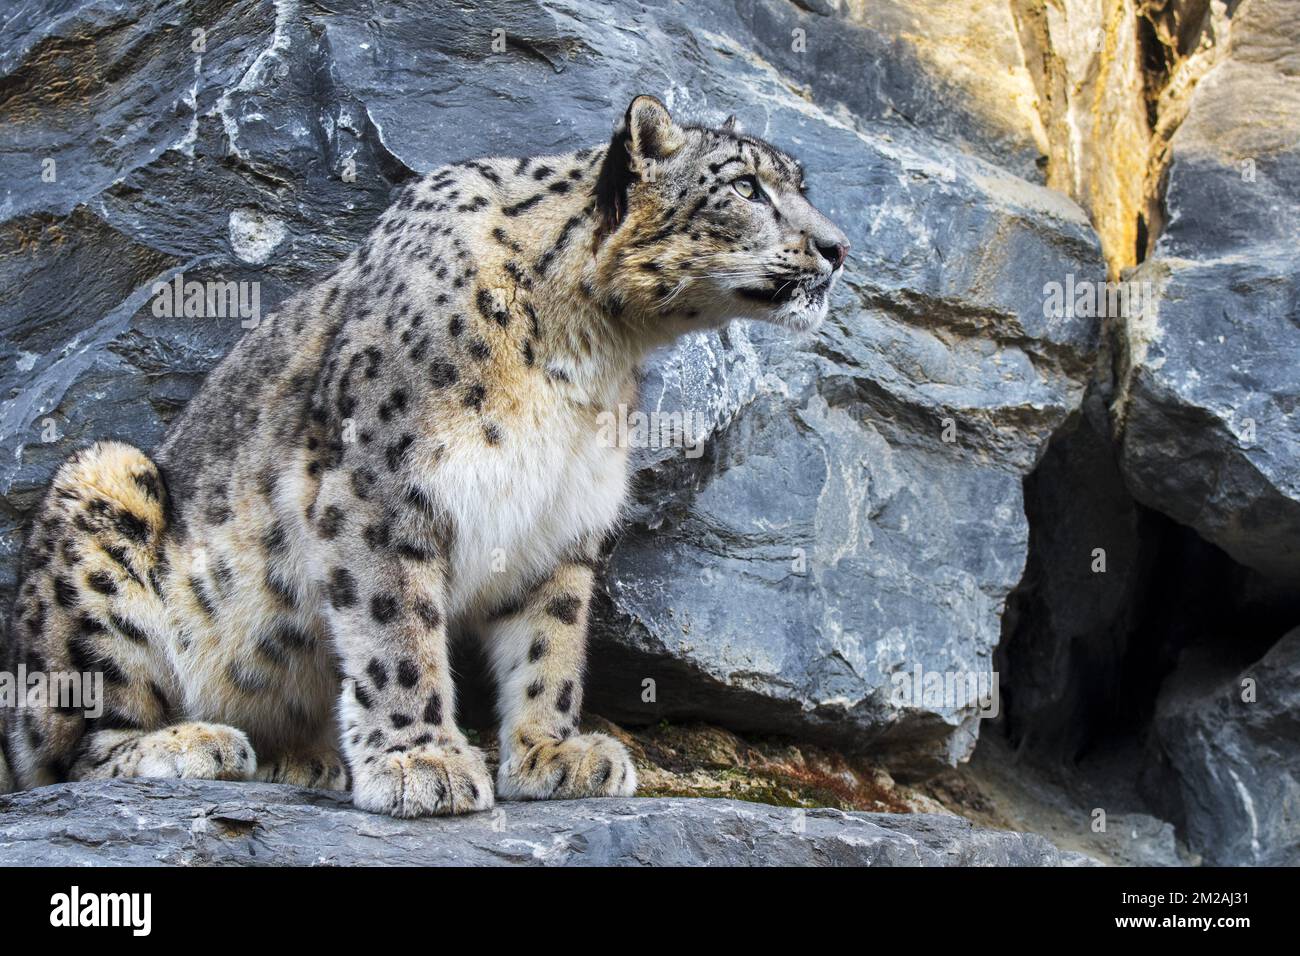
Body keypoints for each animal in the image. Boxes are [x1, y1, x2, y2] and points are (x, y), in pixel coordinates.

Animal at [0, 95, 849, 816]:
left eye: (802, 187)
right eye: (746, 186)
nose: (838, 247)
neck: (592, 349)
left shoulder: (562, 519)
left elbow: (552, 643)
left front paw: (552, 753)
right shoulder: (380, 487)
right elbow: (396, 630)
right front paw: (422, 761)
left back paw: (300, 756)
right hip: (102, 496)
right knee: (68, 751)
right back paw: (196, 744)